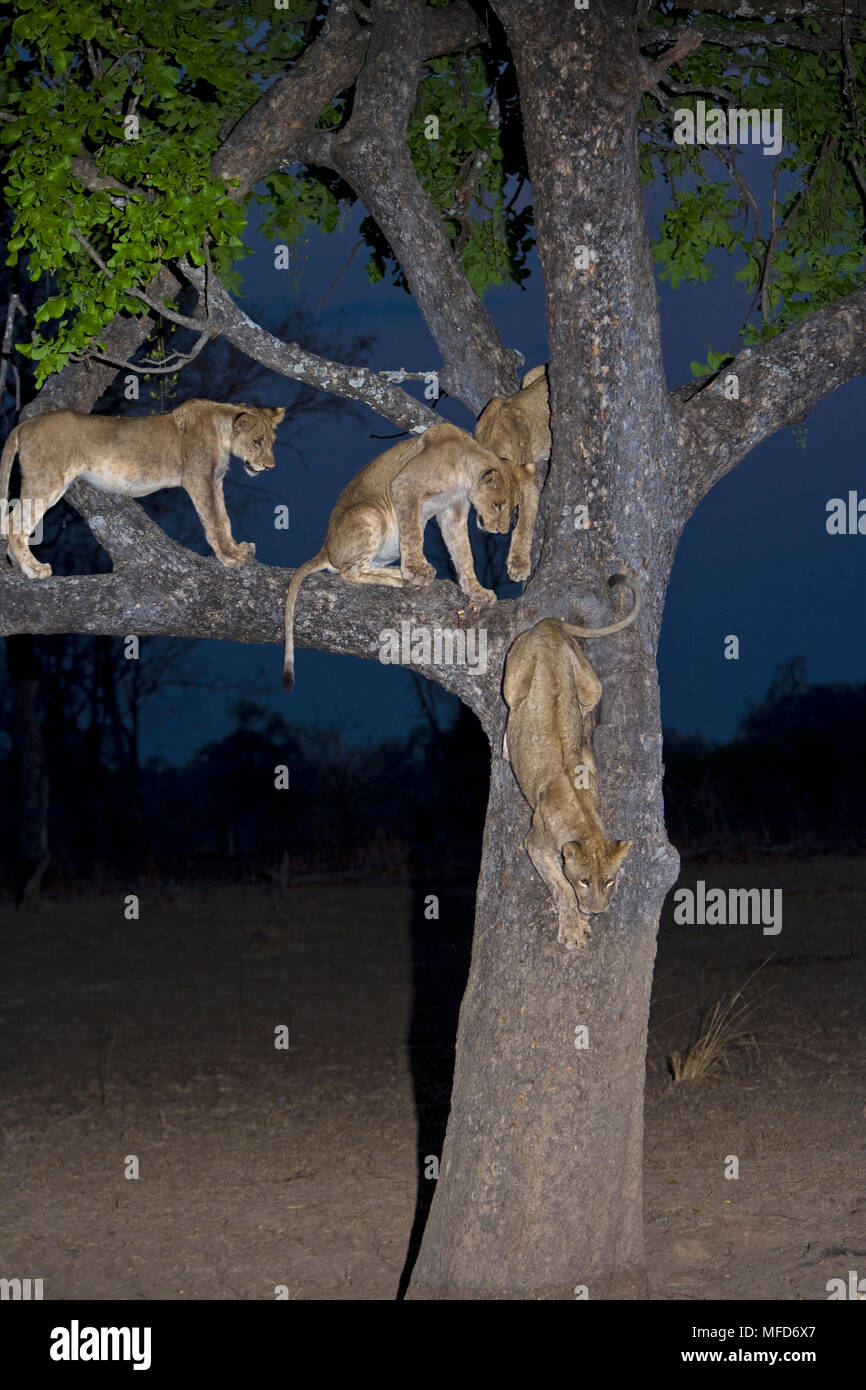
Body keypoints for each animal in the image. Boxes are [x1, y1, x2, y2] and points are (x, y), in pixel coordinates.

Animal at [0, 400, 286, 578]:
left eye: (273, 441)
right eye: (257, 441)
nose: (270, 466)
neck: (223, 432)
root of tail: (25, 424)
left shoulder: (214, 481)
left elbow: (224, 519)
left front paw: (238, 548)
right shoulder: (198, 479)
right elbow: (213, 521)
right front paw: (229, 557)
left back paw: (17, 563)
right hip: (47, 479)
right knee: (14, 522)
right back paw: (33, 569)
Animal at [282, 420, 525, 690]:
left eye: (512, 508)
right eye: (498, 504)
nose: (502, 531)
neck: (465, 468)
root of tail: (325, 548)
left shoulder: (454, 513)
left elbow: (464, 556)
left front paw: (477, 591)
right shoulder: (406, 485)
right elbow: (413, 533)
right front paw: (416, 570)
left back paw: (396, 574)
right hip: (371, 514)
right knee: (349, 571)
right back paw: (398, 579)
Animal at [475, 364, 550, 582]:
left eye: (515, 506)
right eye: (498, 505)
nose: (501, 532)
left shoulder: (529, 485)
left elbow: (524, 525)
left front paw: (519, 565)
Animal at [502, 575, 640, 950]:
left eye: (609, 881)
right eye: (583, 881)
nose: (597, 910)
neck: (583, 817)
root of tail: (550, 626)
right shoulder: (535, 843)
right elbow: (558, 886)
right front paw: (575, 928)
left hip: (590, 682)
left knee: (587, 699)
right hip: (513, 680)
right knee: (511, 706)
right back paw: (505, 746)